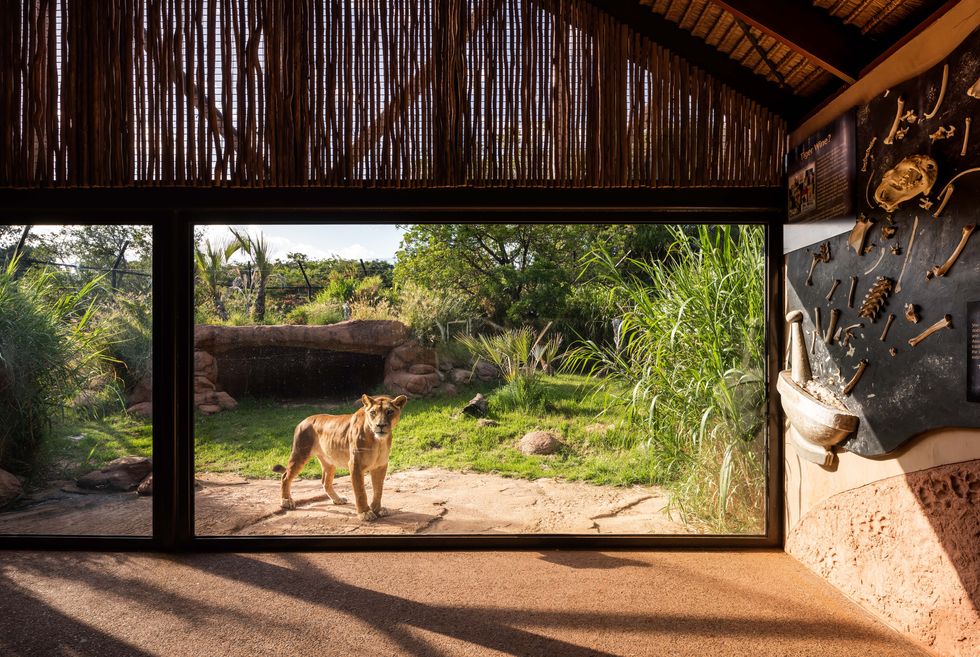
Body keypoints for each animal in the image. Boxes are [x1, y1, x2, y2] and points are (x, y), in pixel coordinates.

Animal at [272, 393, 407, 521]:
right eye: (373, 412)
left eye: (389, 412)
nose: (380, 425)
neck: (378, 441)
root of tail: (303, 420)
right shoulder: (355, 465)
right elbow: (360, 491)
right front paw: (365, 513)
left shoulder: (380, 466)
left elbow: (378, 490)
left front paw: (377, 510)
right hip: (300, 453)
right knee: (285, 476)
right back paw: (286, 501)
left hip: (329, 462)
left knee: (325, 482)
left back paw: (338, 500)